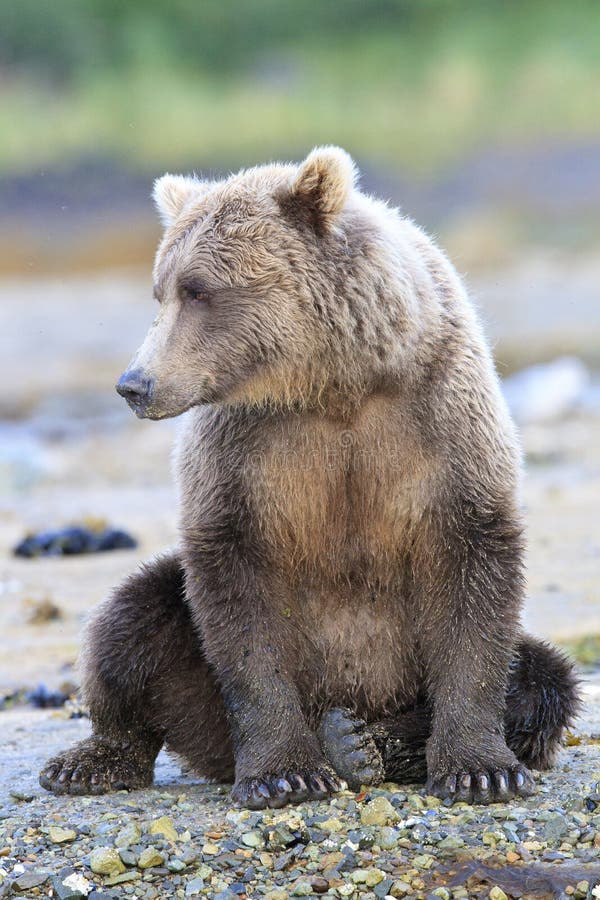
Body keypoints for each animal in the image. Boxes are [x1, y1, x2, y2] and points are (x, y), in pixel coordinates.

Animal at [39, 146, 579, 809]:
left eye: (199, 290)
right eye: (160, 291)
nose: (134, 383)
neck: (330, 384)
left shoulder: (438, 422)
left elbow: (473, 582)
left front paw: (481, 769)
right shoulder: (244, 452)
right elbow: (239, 597)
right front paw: (284, 773)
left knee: (543, 681)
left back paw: (364, 740)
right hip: (188, 667)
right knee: (130, 619)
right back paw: (95, 760)